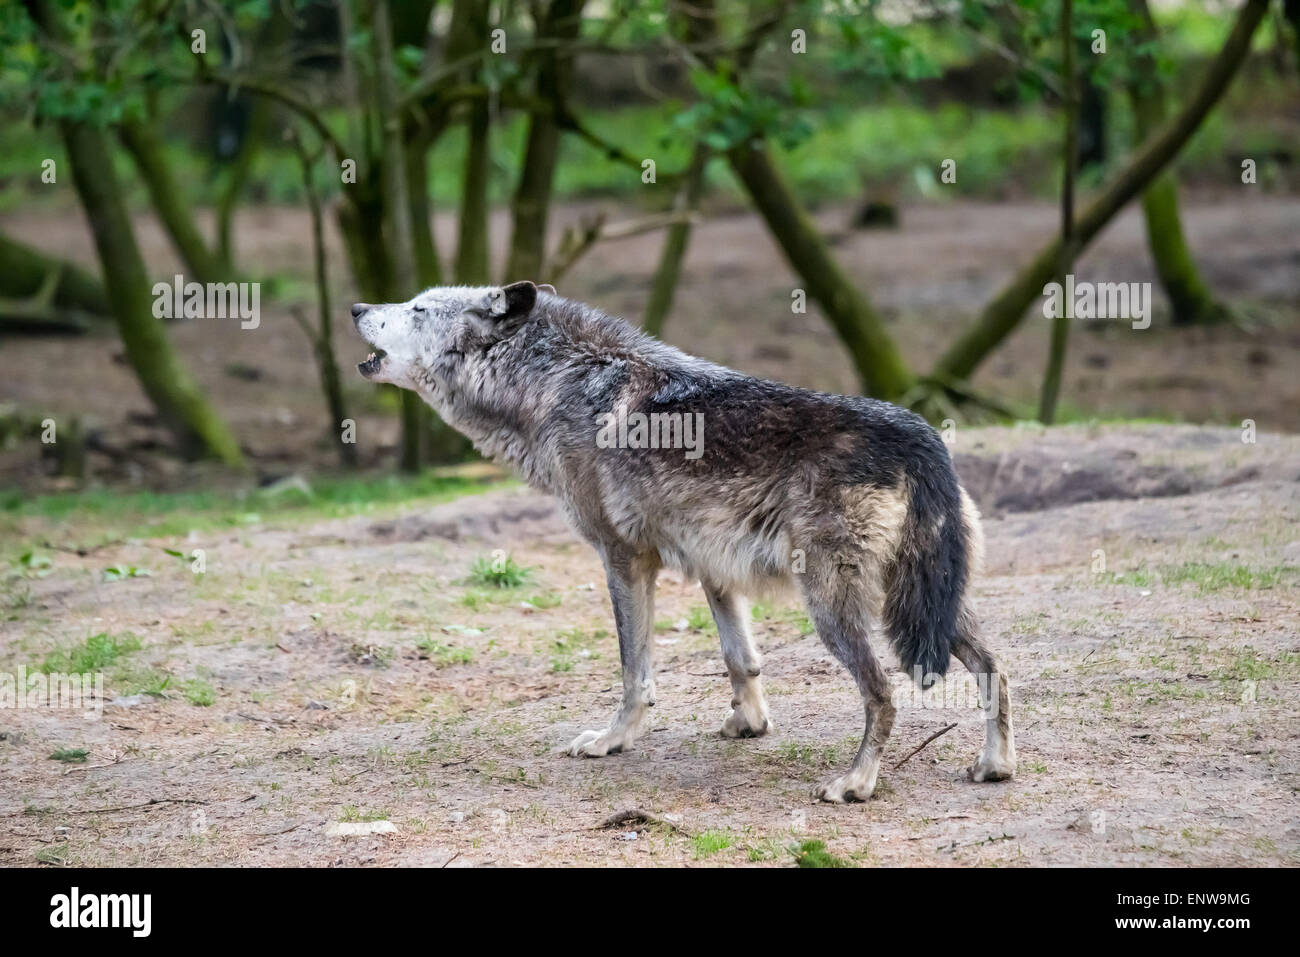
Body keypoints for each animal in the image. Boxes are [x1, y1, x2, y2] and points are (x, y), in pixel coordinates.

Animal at [352, 282, 1015, 802]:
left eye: (416, 308)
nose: (357, 305)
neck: (565, 383)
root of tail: (922, 437)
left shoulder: (623, 558)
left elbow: (633, 671)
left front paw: (613, 740)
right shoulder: (712, 566)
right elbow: (740, 658)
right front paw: (749, 724)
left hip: (838, 607)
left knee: (883, 691)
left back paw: (855, 784)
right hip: (927, 605)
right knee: (995, 668)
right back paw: (995, 765)